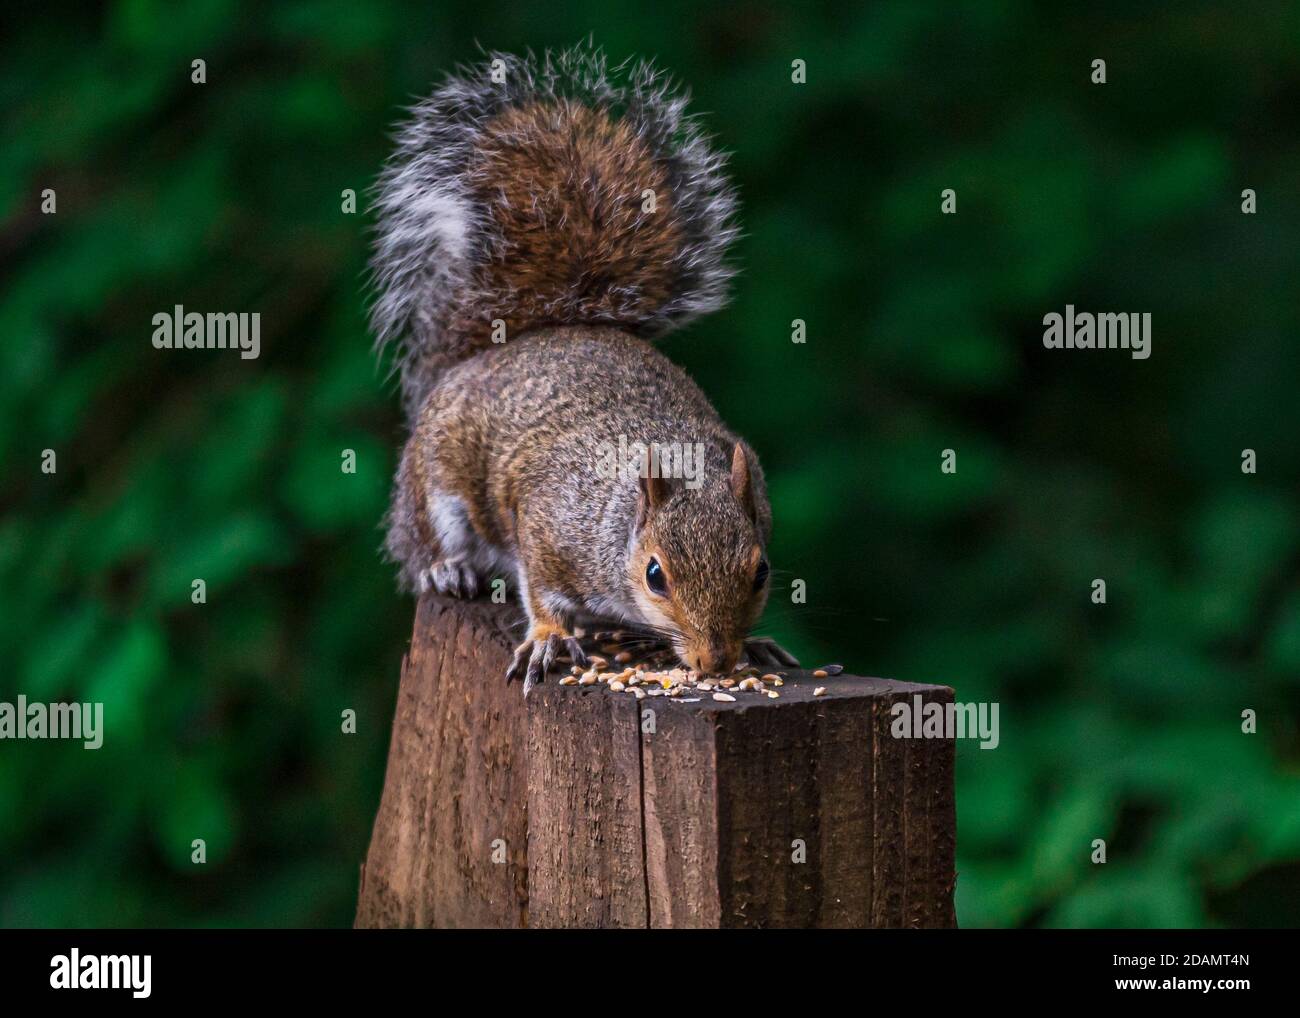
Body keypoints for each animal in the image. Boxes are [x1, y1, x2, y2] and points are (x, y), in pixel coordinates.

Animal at [370, 44, 797, 694]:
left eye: (762, 571)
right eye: (655, 575)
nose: (715, 661)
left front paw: (759, 646)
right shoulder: (549, 525)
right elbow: (542, 590)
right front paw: (548, 638)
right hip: (433, 484)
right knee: (420, 544)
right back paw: (447, 570)